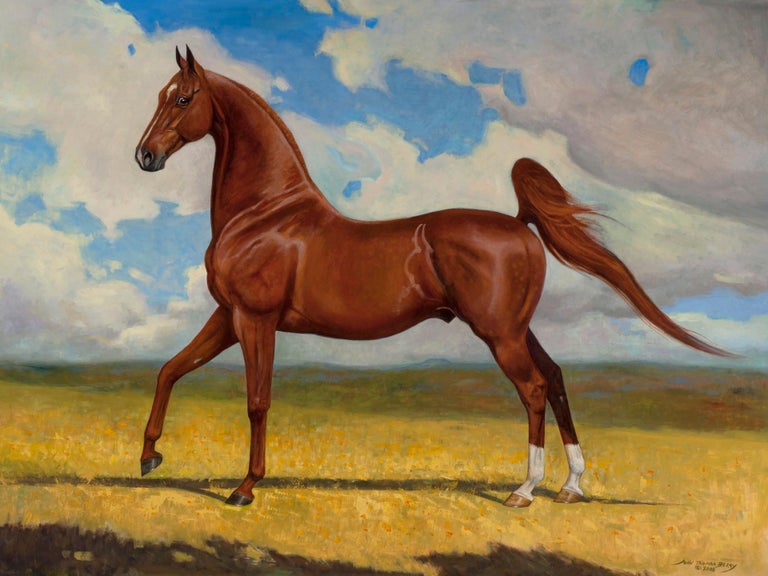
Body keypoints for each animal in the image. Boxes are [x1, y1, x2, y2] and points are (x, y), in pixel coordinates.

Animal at [135, 47, 730, 508]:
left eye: (183, 98)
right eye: (161, 94)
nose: (145, 156)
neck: (266, 214)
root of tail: (519, 222)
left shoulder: (255, 320)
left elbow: (257, 401)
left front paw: (244, 488)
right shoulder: (227, 317)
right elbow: (169, 370)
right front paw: (149, 456)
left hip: (499, 334)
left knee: (535, 389)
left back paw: (525, 490)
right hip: (517, 329)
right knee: (557, 379)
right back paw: (571, 486)